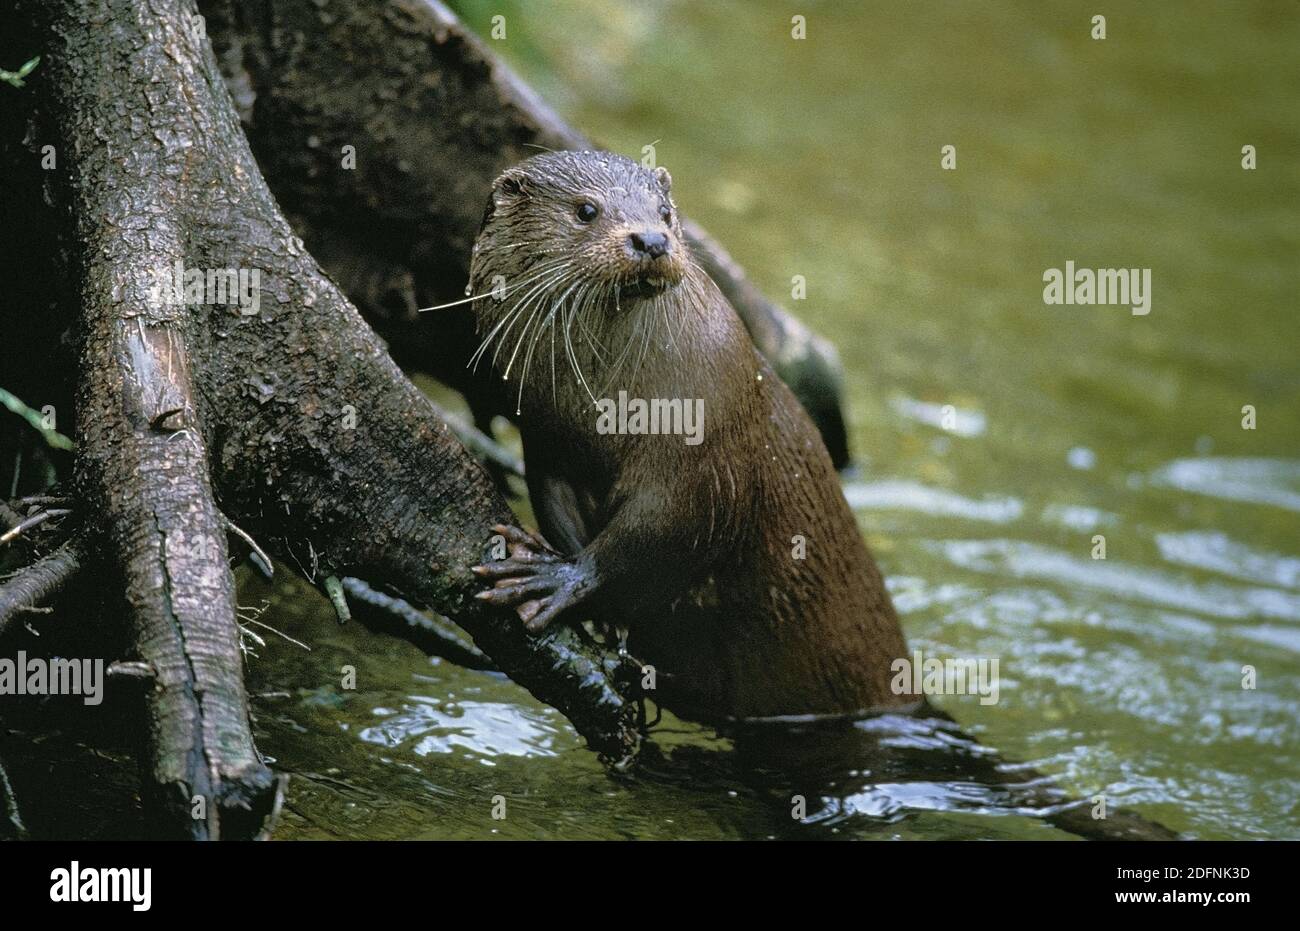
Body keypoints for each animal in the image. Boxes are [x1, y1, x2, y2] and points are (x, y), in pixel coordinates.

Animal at [468, 150, 910, 721]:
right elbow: (556, 502)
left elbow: (661, 536)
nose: (652, 240)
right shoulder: (546, 439)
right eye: (586, 210)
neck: (611, 406)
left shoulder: (707, 452)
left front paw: (558, 578)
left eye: (665, 212)